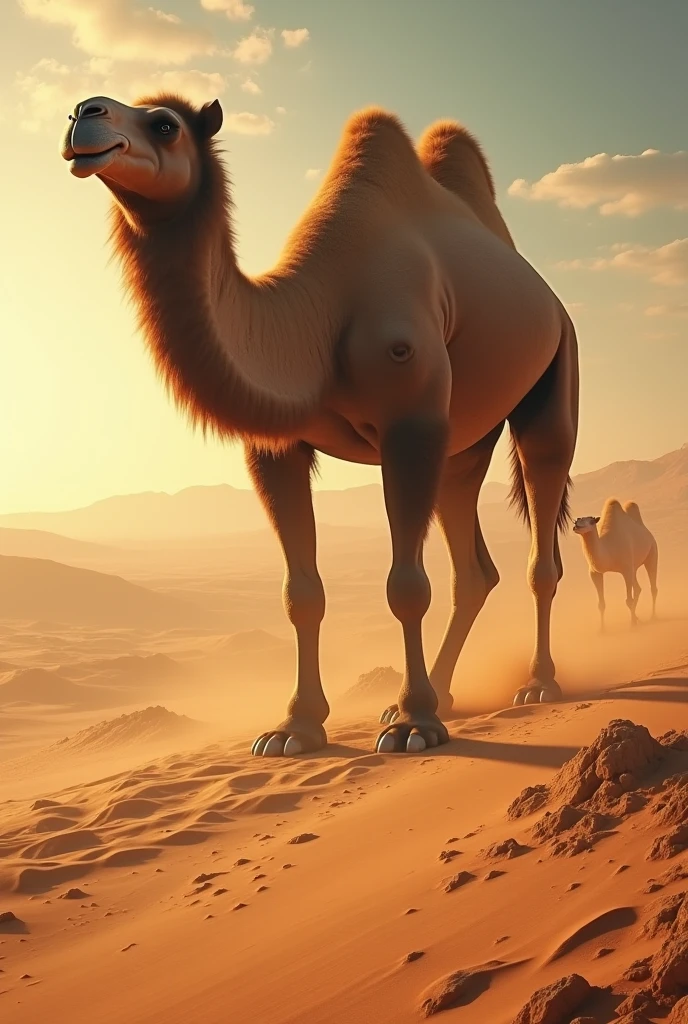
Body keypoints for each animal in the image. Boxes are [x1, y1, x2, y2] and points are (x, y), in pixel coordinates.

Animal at [60, 92, 579, 756]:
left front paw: (413, 725)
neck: (314, 318)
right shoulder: (275, 446)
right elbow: (301, 593)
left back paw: (536, 686)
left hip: (556, 367)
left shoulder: (410, 421)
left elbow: (406, 585)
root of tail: (548, 296)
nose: (84, 111)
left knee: (543, 524)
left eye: (165, 124)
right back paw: (445, 695)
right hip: (464, 440)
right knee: (473, 565)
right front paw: (296, 729)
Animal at [573, 499, 658, 629]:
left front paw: (632, 625)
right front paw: (602, 629)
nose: (577, 525)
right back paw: (638, 618)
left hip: (652, 552)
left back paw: (652, 617)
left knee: (653, 588)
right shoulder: (595, 573)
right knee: (638, 588)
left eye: (591, 521)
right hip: (634, 567)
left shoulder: (626, 569)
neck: (609, 550)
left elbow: (629, 600)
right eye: (577, 520)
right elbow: (601, 604)